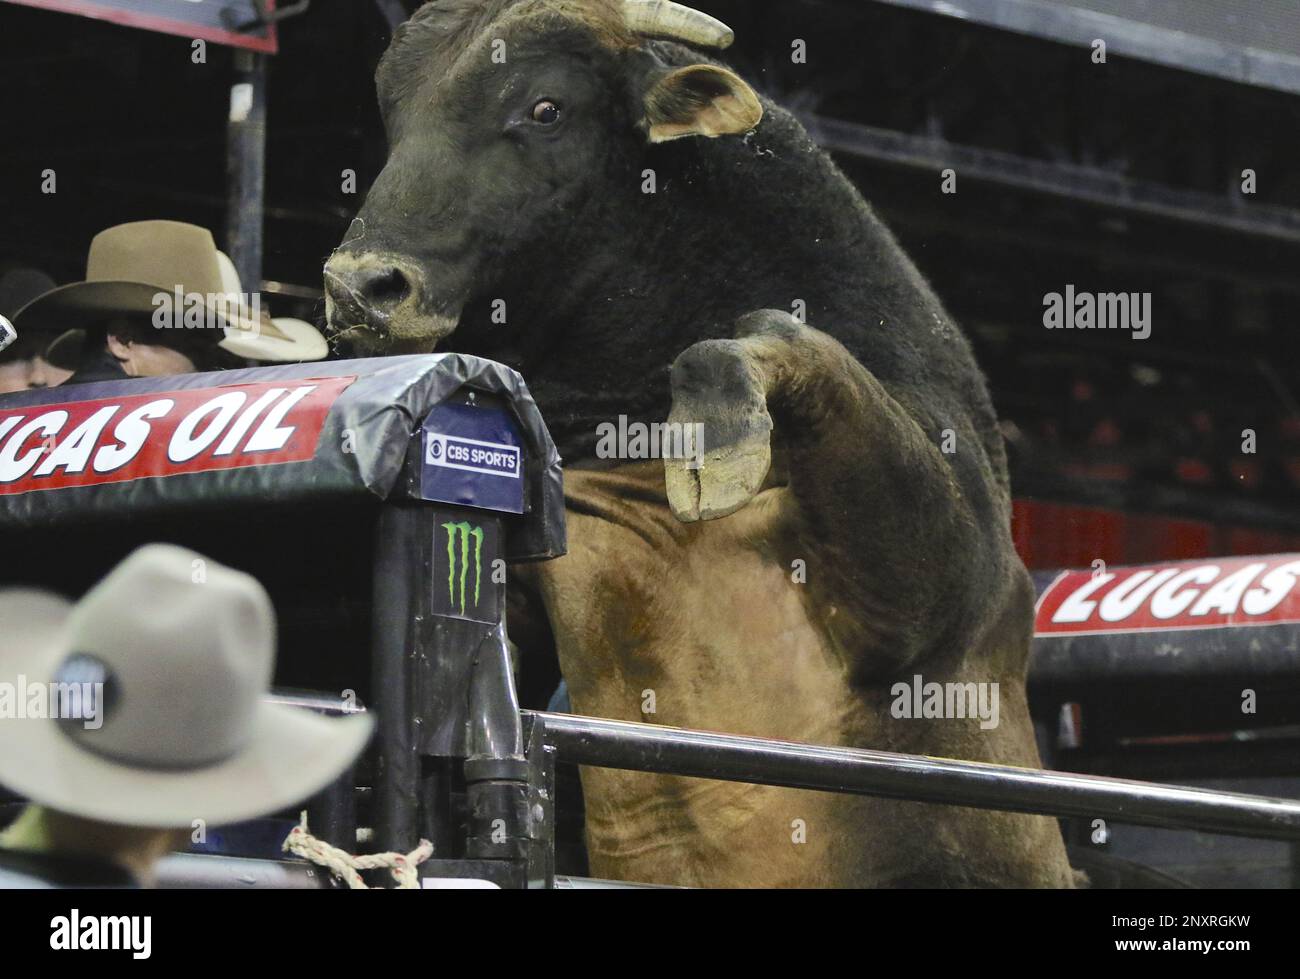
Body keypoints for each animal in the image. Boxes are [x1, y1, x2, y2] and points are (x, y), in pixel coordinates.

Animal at [325, 0, 1076, 887]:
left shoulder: (940, 599)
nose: (360, 286)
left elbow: (774, 330)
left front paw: (714, 440)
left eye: (546, 109)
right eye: (392, 111)